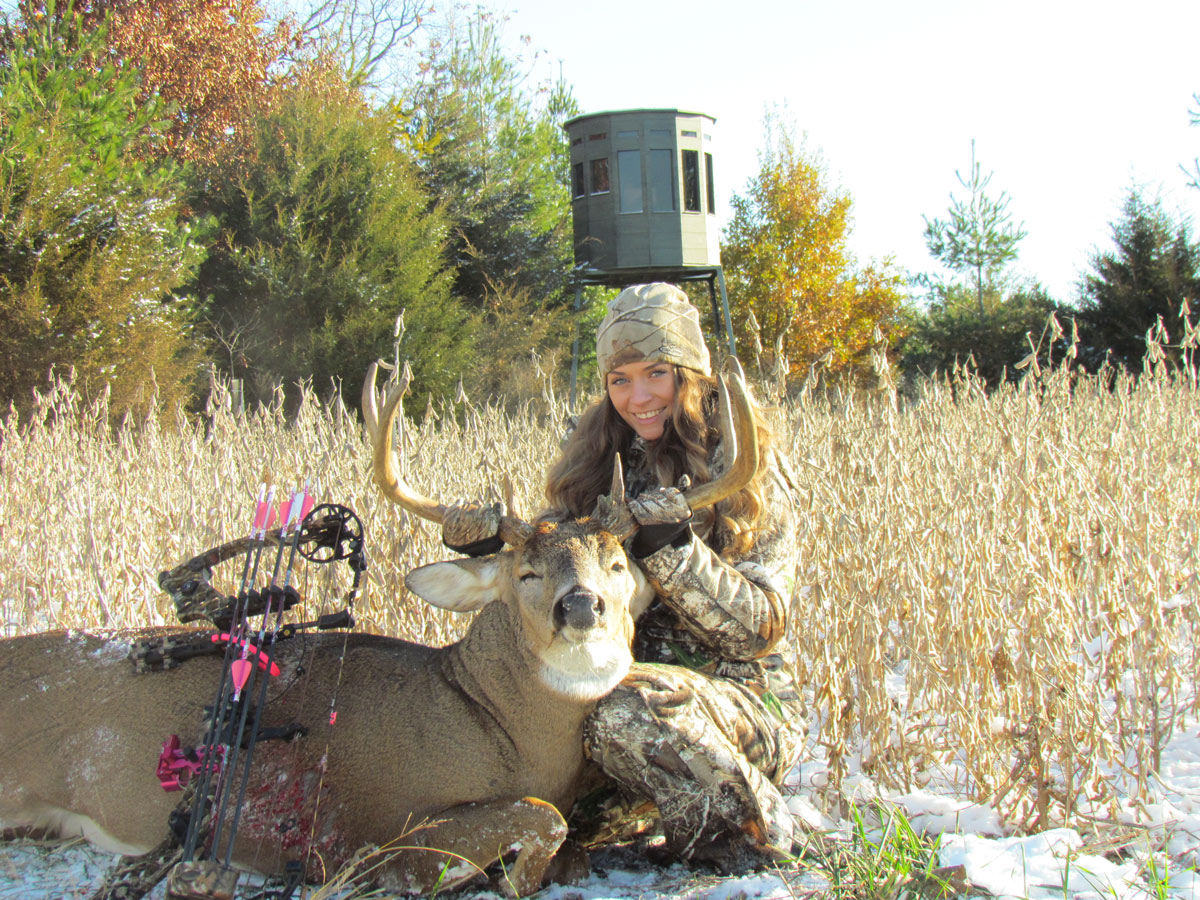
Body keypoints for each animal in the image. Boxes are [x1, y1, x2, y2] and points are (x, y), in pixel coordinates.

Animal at [0, 361, 758, 897]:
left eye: (618, 562)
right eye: (525, 574)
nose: (581, 608)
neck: (490, 725)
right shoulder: (381, 827)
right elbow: (542, 816)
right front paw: (503, 877)